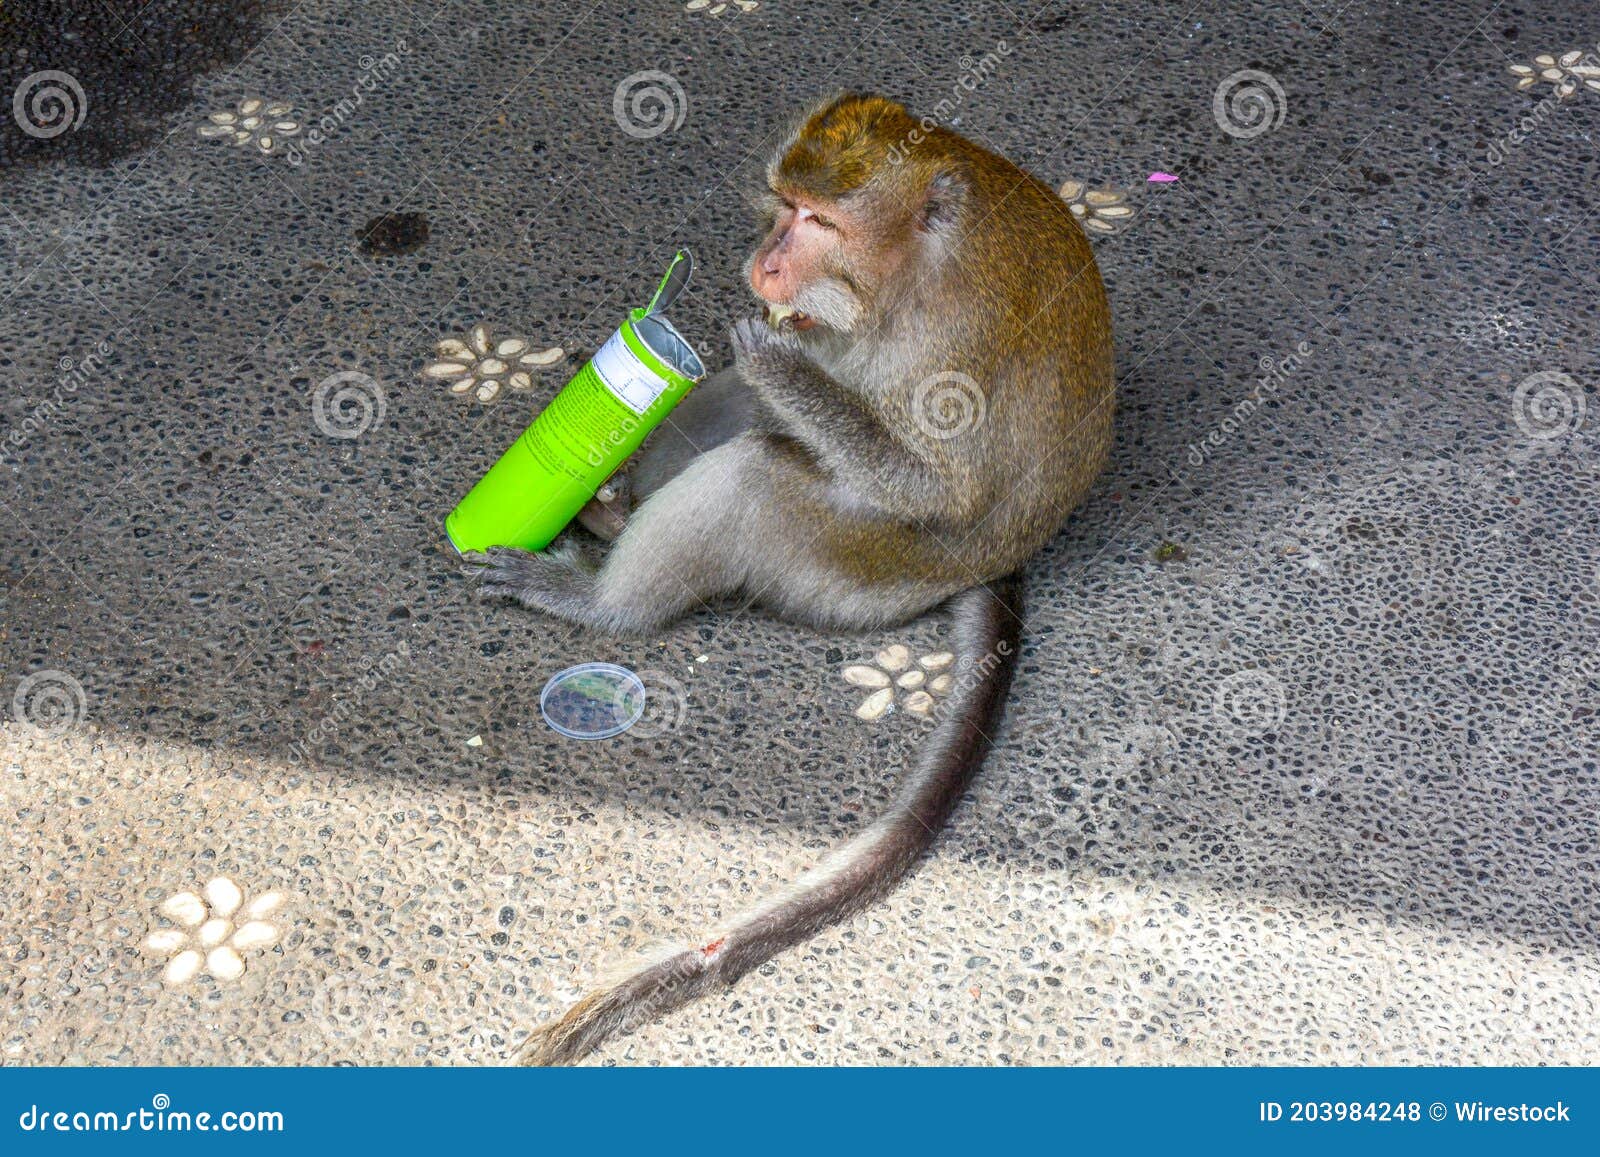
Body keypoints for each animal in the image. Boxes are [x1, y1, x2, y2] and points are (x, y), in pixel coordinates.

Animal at [468, 92, 1114, 1064]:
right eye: (784, 204)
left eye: (821, 222)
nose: (764, 260)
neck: (906, 274)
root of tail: (1003, 564)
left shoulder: (954, 338)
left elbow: (934, 484)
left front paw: (776, 361)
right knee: (738, 414)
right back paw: (612, 518)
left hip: (864, 563)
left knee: (762, 473)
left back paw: (607, 602)